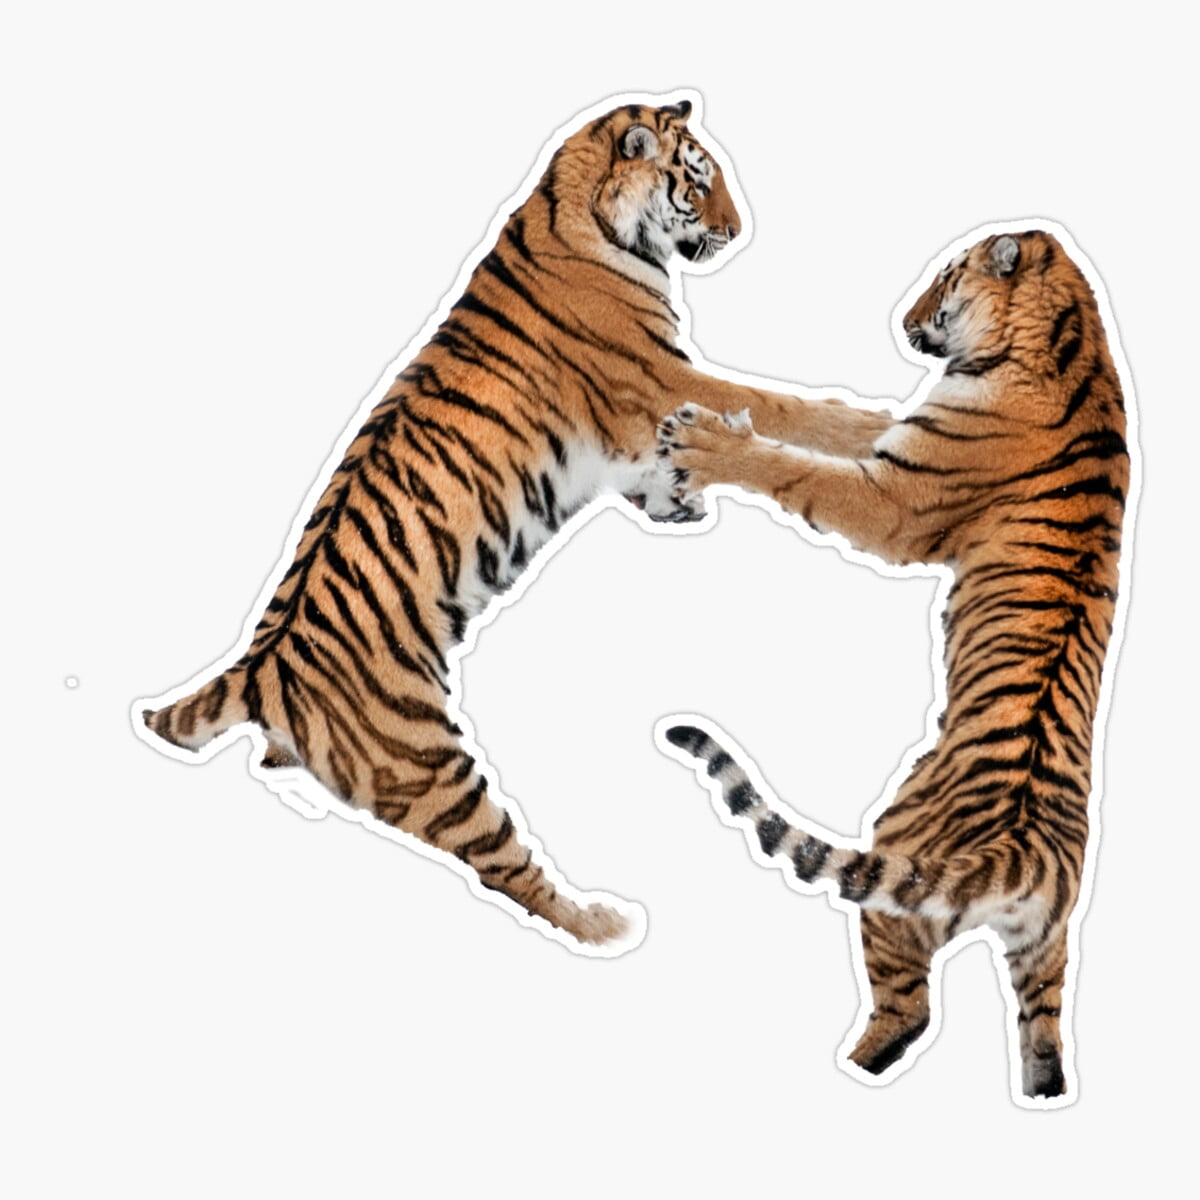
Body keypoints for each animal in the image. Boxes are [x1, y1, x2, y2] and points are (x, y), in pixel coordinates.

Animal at [137, 95, 895, 953]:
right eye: (699, 182)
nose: (736, 232)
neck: (577, 213)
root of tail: (256, 666)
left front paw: (681, 499)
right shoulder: (660, 379)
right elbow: (781, 406)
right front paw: (873, 424)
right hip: (429, 761)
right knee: (509, 869)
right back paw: (605, 921)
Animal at [656, 228, 1131, 1099]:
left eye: (943, 281)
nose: (903, 325)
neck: (1073, 341)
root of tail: (1021, 858)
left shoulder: (895, 500)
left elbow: (798, 469)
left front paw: (707, 439)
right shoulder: (898, 446)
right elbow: (836, 427)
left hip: (892, 892)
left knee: (907, 1015)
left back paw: (840, 1072)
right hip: (1045, 956)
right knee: (1045, 1047)